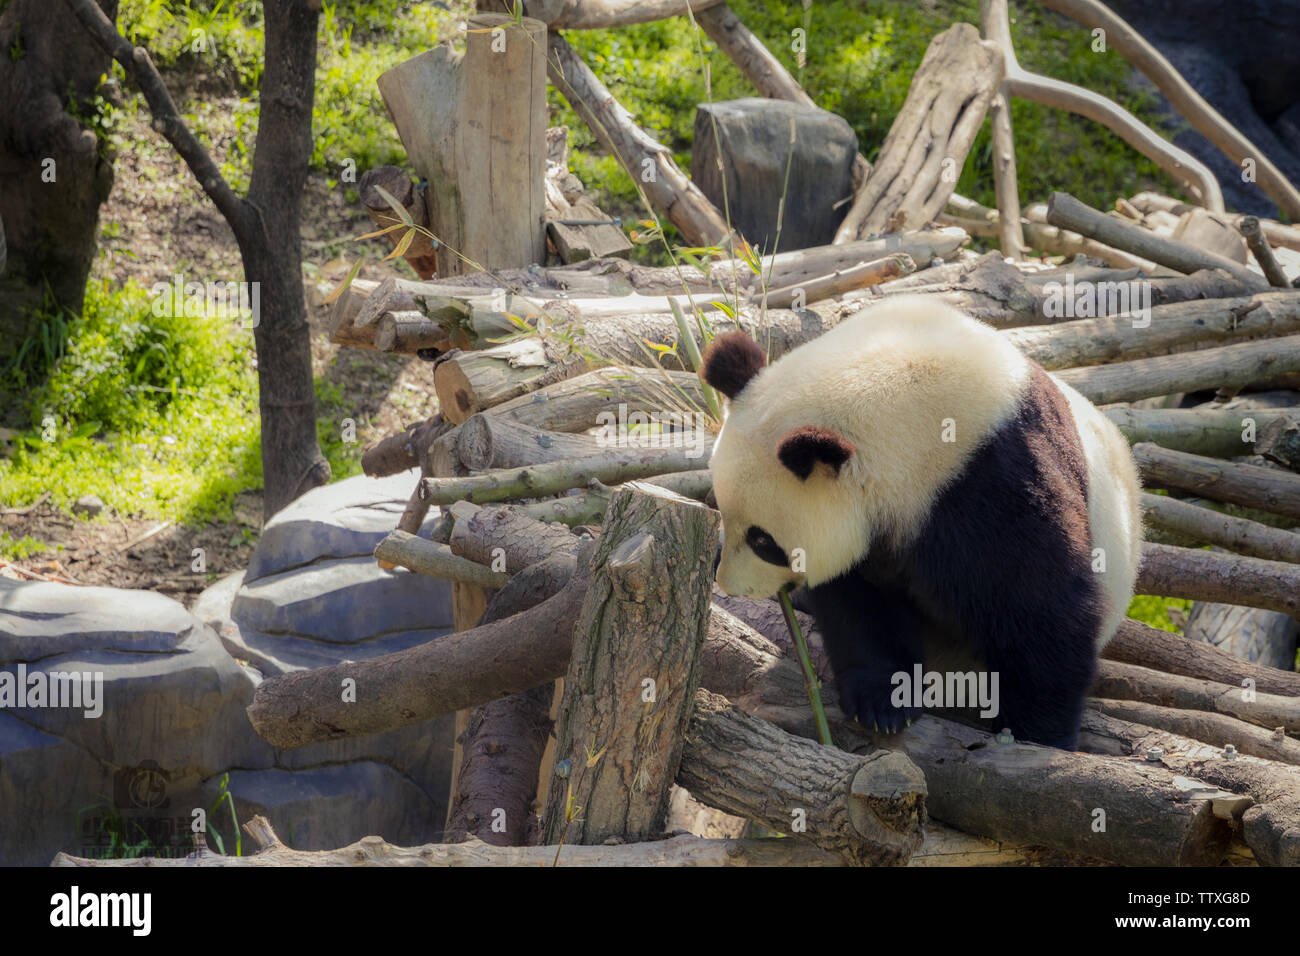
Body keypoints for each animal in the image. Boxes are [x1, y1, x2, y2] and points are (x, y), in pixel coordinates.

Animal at [700, 294, 1142, 750]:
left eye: (763, 541)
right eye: (720, 507)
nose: (730, 584)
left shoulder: (991, 484)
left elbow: (1041, 606)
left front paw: (1037, 735)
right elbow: (858, 601)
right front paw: (883, 701)